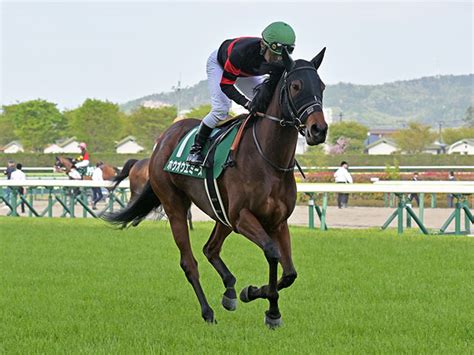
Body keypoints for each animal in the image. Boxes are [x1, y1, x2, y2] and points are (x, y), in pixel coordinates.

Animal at [104, 48, 326, 330]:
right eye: (296, 86)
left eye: (321, 86)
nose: (318, 129)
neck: (268, 160)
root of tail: (163, 138)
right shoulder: (242, 217)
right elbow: (271, 252)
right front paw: (262, 301)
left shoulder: (277, 221)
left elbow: (289, 273)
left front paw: (263, 303)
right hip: (176, 207)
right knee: (189, 262)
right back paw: (208, 311)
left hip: (221, 214)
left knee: (210, 248)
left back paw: (229, 290)